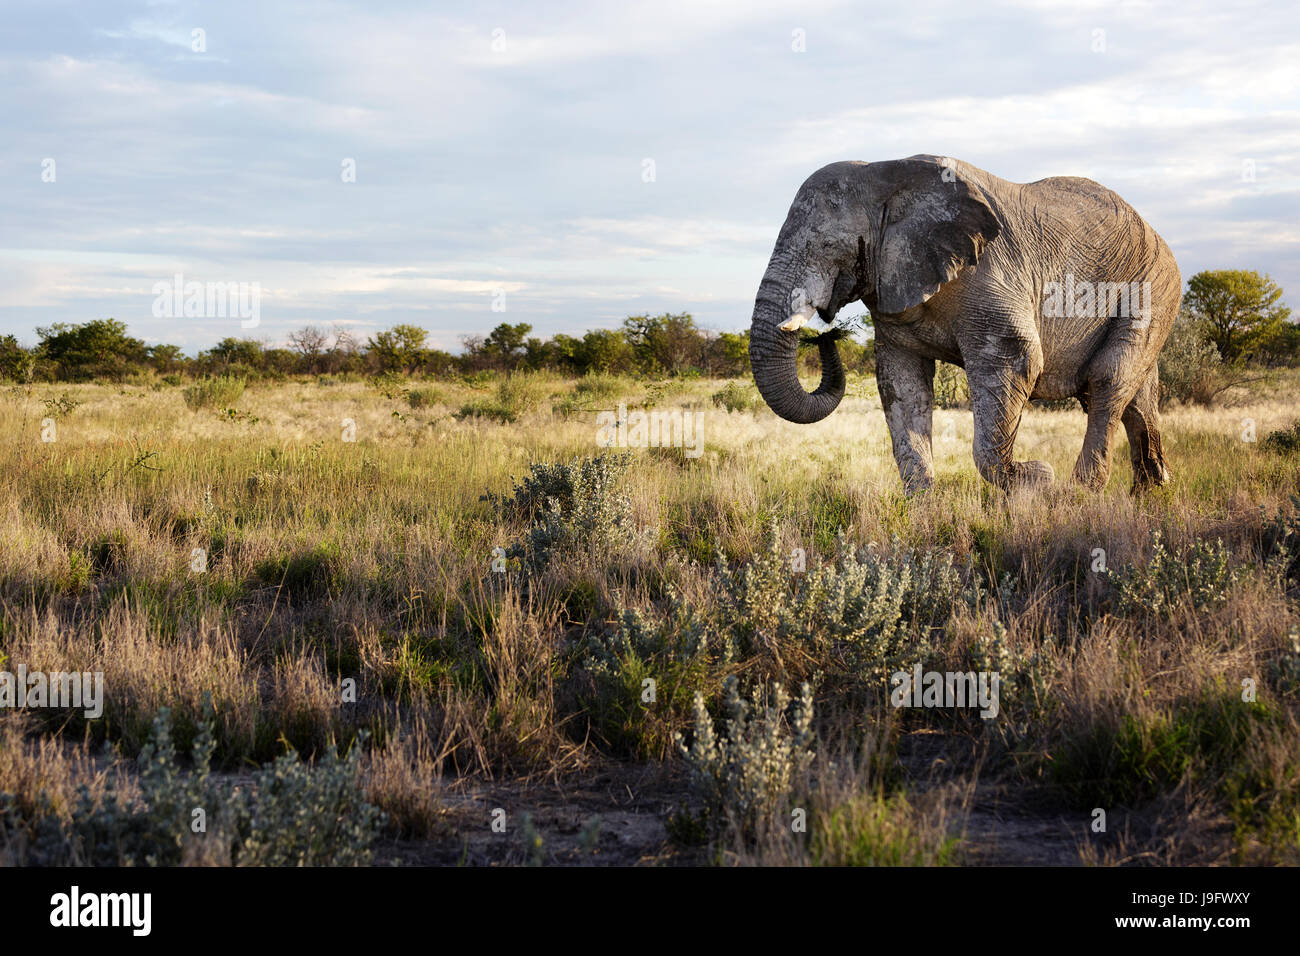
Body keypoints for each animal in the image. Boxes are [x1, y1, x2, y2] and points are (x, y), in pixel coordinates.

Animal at [748, 155, 1181, 494]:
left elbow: (1016, 358)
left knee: (1107, 380)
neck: (883, 173)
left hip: (1152, 289)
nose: (827, 336)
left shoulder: (991, 272)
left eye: (827, 246)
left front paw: (1038, 480)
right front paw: (922, 512)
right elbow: (902, 384)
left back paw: (1080, 494)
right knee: (1135, 399)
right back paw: (1151, 491)